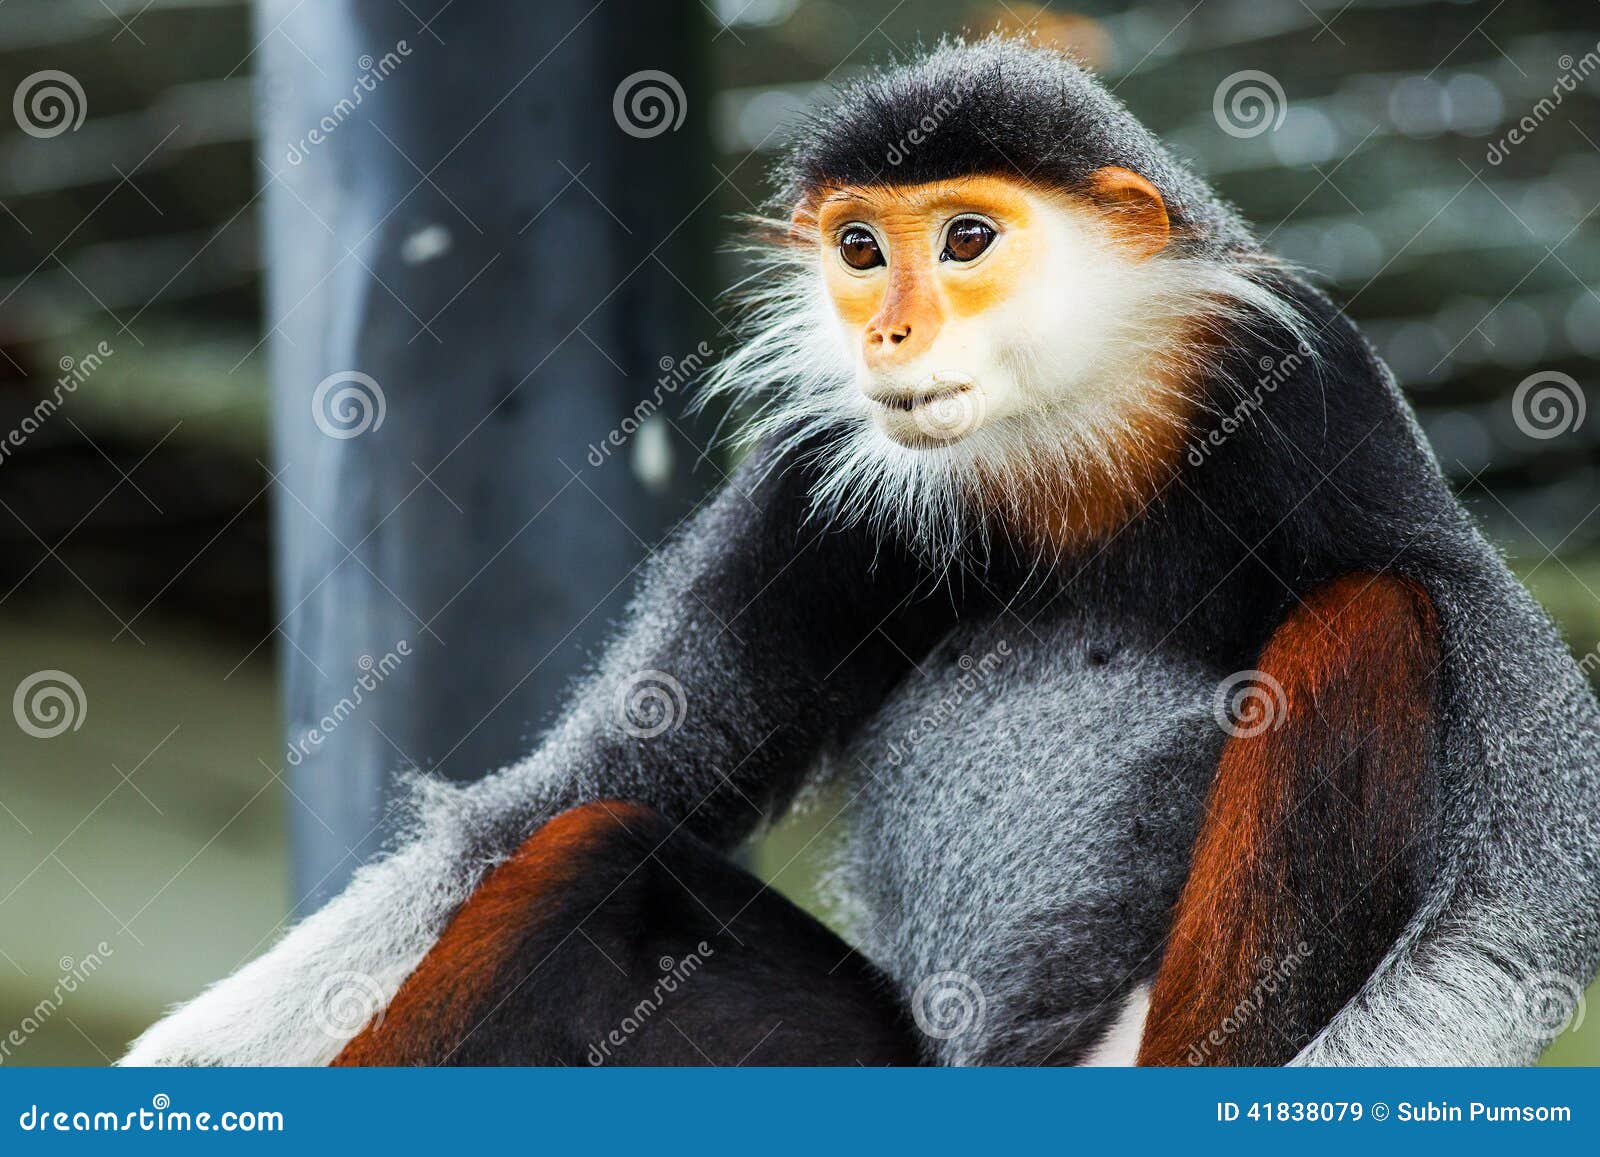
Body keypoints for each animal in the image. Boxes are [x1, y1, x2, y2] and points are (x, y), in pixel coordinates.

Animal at [123, 38, 1600, 1068]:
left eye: (966, 238)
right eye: (855, 249)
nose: (888, 332)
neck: (1071, 447)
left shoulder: (1312, 393)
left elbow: (1522, 894)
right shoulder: (814, 485)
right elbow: (583, 789)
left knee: (1374, 618)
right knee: (599, 857)